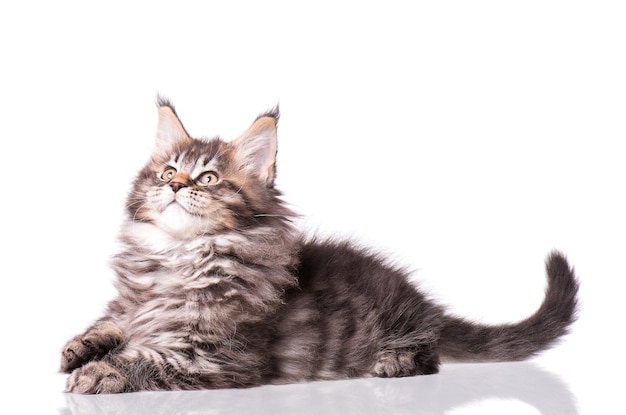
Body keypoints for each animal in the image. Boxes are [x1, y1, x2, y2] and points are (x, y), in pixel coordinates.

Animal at [58, 99, 576, 394]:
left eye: (208, 179)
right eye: (167, 172)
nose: (174, 186)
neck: (176, 256)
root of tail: (419, 298)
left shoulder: (215, 354)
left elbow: (147, 359)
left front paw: (100, 372)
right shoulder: (133, 306)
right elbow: (113, 323)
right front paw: (79, 348)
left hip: (403, 329)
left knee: (431, 354)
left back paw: (395, 361)